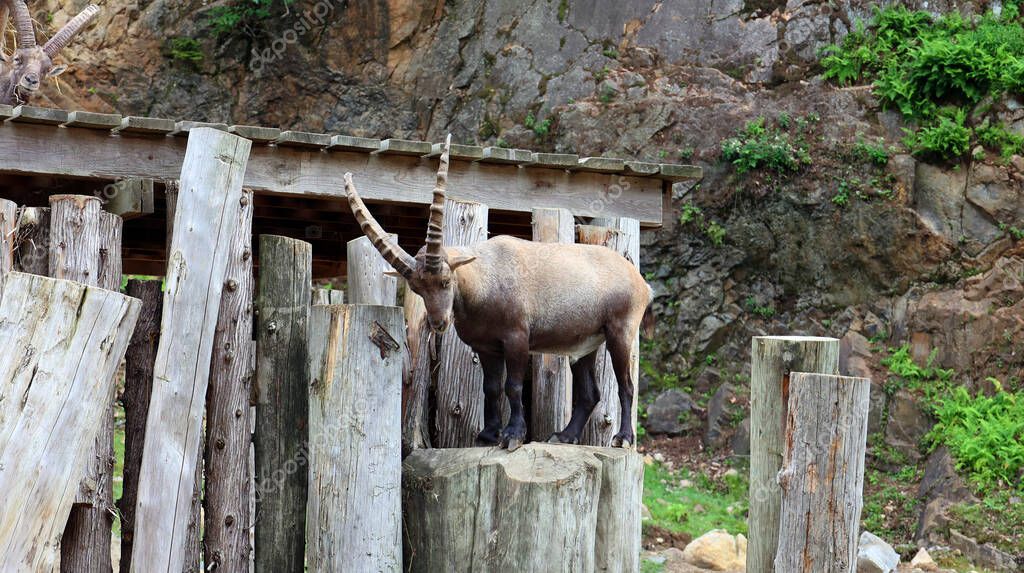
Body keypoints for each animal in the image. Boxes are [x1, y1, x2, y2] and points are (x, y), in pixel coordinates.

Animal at [344, 137, 654, 450]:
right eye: (417, 289)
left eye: (445, 281)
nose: (438, 323)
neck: (484, 282)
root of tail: (641, 282)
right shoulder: (487, 347)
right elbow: (491, 388)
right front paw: (487, 435)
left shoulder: (517, 338)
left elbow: (512, 386)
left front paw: (512, 435)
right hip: (587, 344)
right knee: (591, 393)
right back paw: (564, 435)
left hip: (620, 331)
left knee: (627, 386)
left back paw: (623, 438)